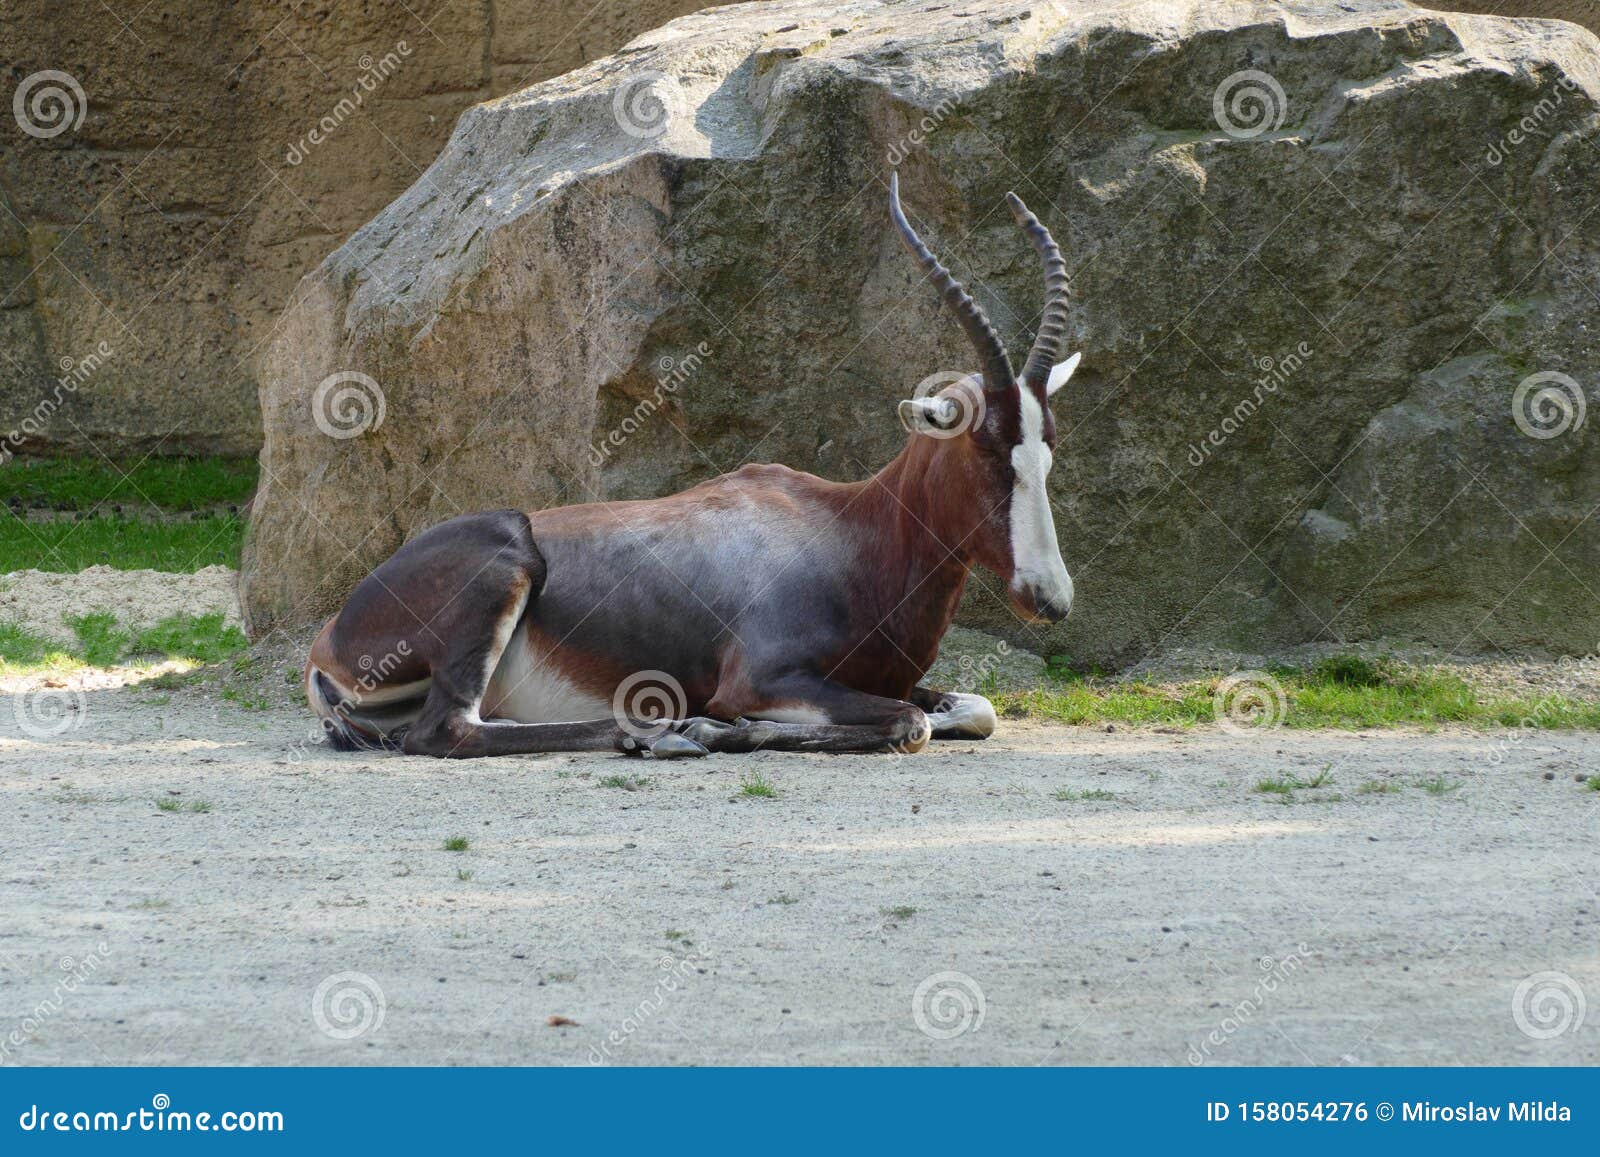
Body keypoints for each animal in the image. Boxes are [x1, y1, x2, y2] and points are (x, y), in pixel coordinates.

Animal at [305, 173, 1080, 759]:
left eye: (1047, 449)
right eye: (986, 451)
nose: (1052, 598)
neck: (850, 528)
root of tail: (327, 642)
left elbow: (973, 708)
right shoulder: (763, 679)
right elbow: (905, 722)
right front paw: (718, 726)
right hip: (502, 578)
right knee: (449, 732)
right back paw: (667, 733)